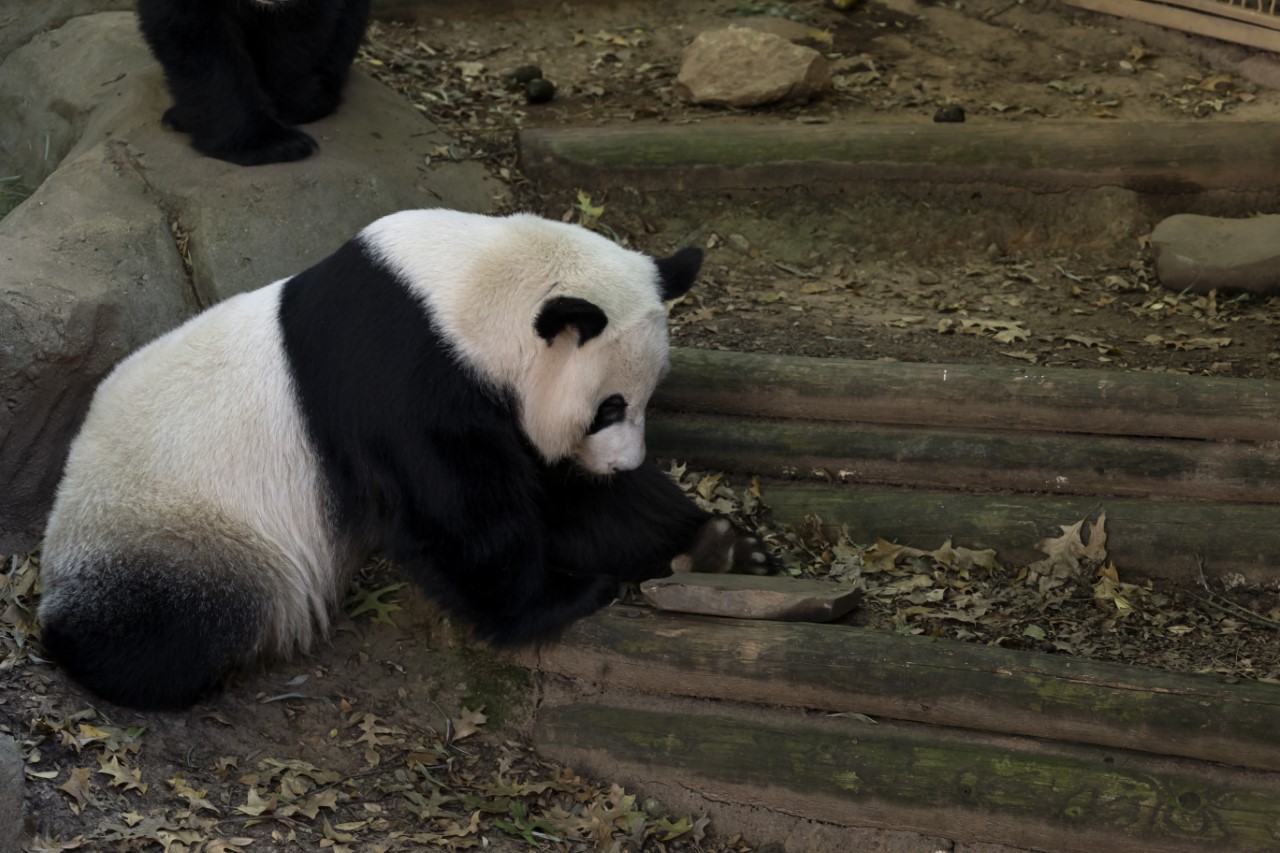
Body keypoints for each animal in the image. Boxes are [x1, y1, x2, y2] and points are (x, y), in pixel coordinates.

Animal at [38, 209, 771, 711]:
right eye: (608, 407)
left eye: (648, 397)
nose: (622, 464)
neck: (468, 292)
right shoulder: (404, 384)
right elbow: (461, 517)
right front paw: (564, 597)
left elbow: (557, 494)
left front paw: (717, 545)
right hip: (183, 527)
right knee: (166, 623)